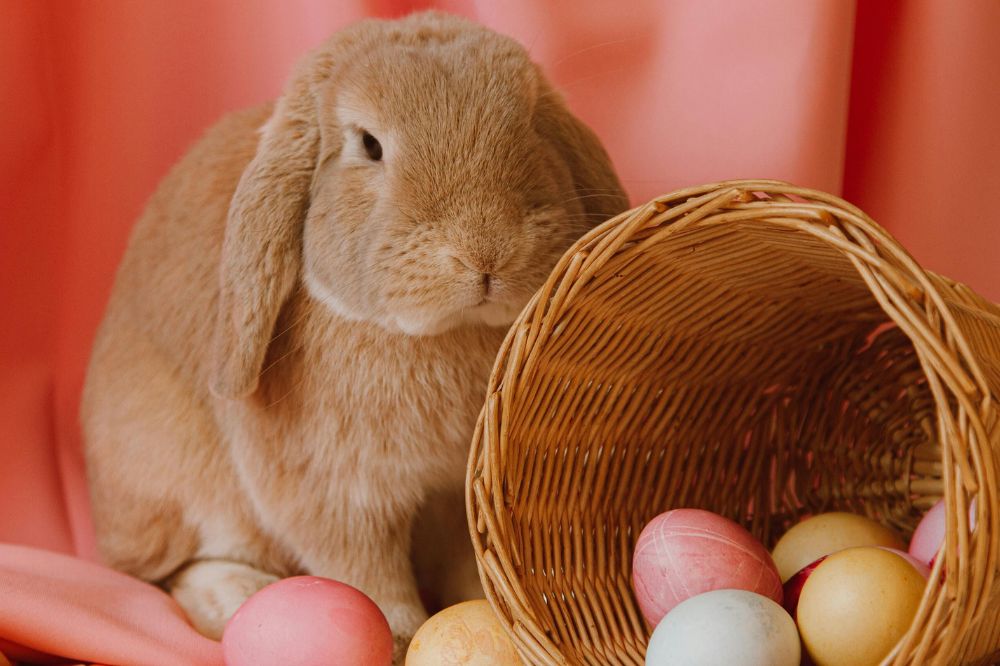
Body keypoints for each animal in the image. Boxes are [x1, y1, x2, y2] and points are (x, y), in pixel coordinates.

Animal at [81, 10, 627, 660]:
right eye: (369, 144)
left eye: (531, 123)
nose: (484, 252)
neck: (439, 333)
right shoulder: (339, 494)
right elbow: (364, 569)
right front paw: (397, 634)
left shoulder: (457, 496)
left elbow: (466, 560)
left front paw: (487, 610)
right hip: (180, 487)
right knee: (175, 573)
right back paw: (238, 598)